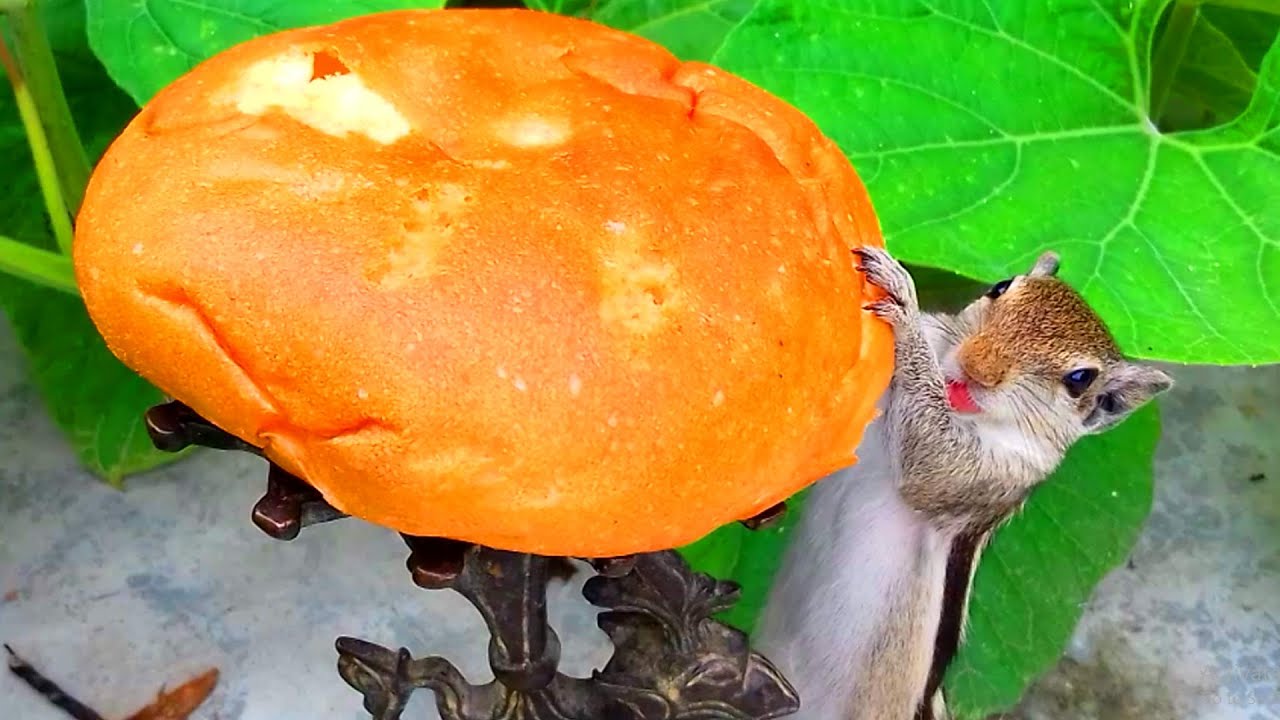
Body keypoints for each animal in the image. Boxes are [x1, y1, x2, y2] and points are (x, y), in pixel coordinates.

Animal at [752, 247, 1173, 720]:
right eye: (1001, 287)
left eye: (1080, 380)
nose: (976, 367)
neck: (961, 406)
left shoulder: (990, 474)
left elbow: (928, 458)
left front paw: (905, 306)